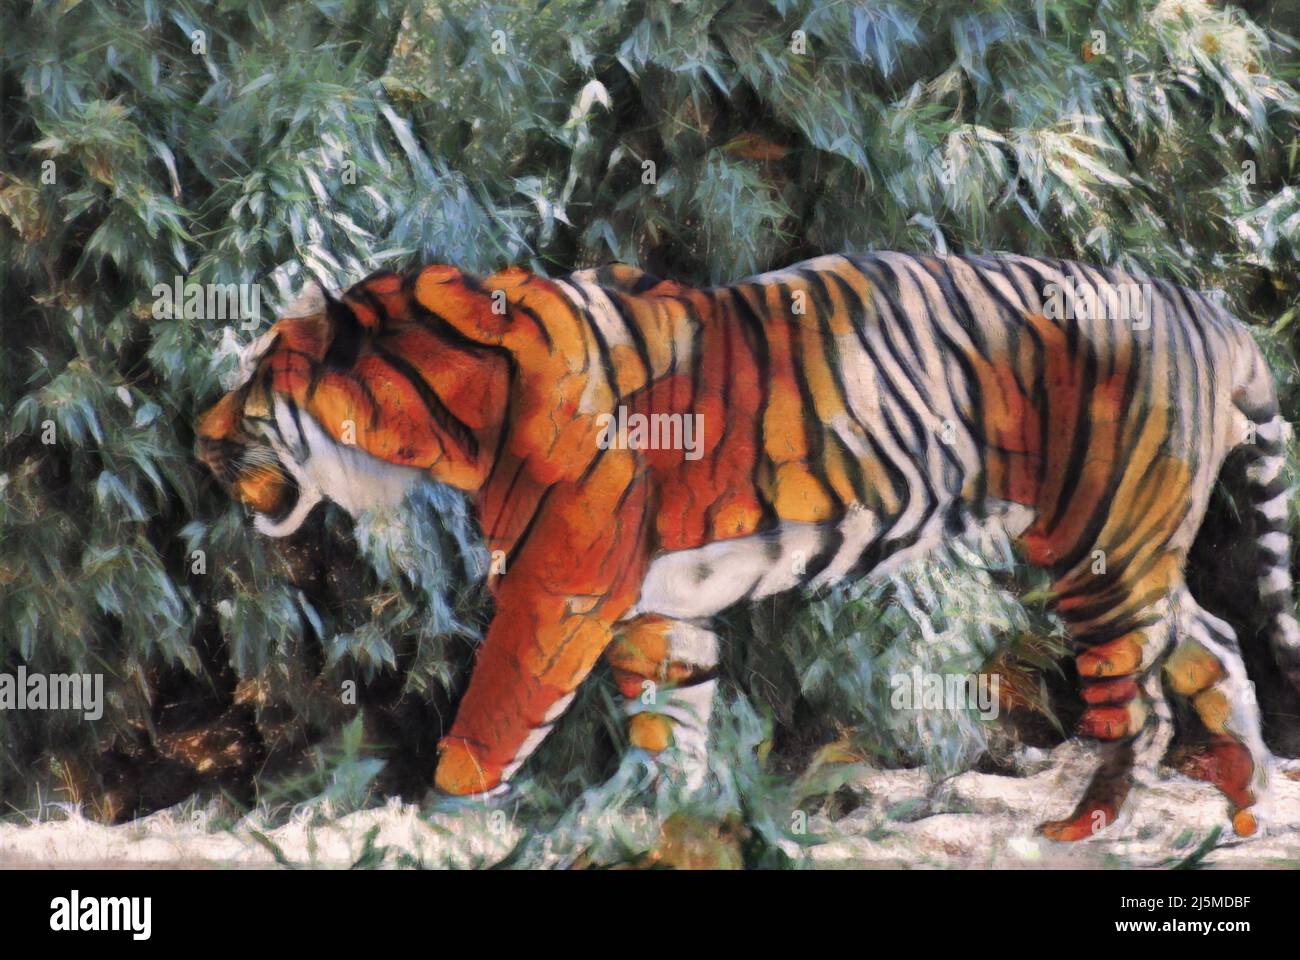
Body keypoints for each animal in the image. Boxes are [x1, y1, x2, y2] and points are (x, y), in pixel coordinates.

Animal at [195, 252, 1300, 840]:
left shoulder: (561, 593)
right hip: (1133, 547)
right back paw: (1246, 797)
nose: (198, 437)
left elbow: (492, 719)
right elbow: (666, 723)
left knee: (1138, 697)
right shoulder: (655, 608)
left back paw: (1085, 826)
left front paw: (438, 819)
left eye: (248, 386)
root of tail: (1205, 306)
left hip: (1103, 546)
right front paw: (651, 821)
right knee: (1210, 640)